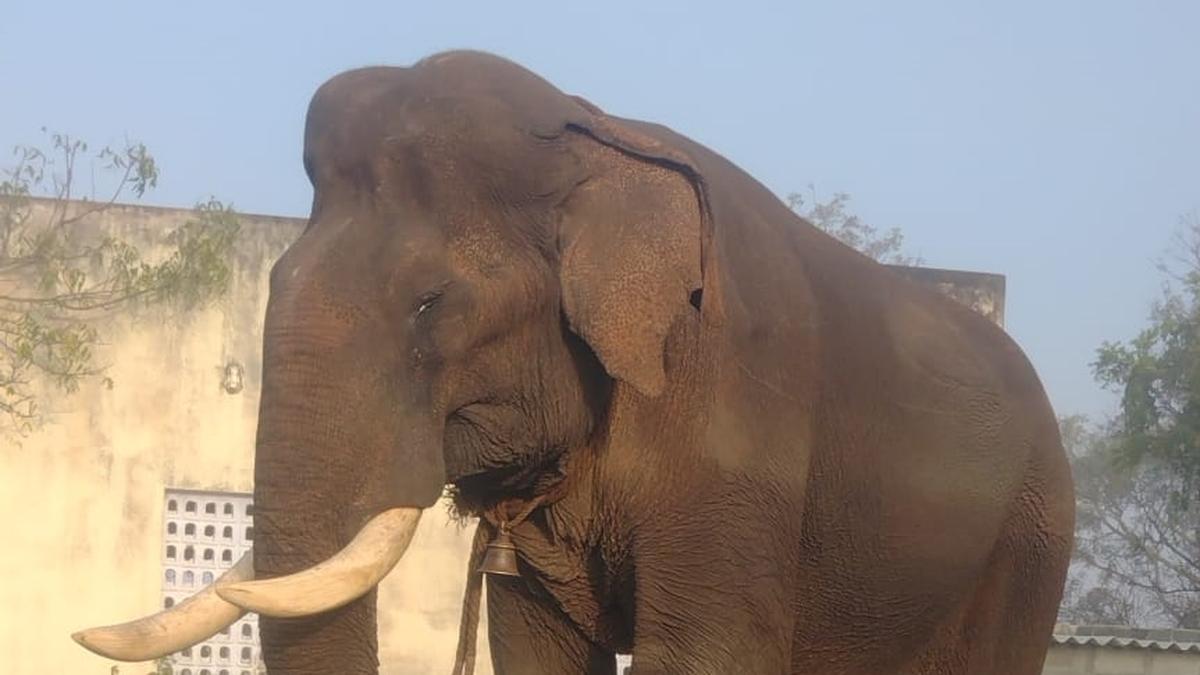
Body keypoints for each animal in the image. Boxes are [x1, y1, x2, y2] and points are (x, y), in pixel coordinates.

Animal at [75, 50, 1074, 674]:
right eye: (273, 281)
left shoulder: (742, 438)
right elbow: (537, 647)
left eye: (431, 304)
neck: (593, 136)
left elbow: (708, 654)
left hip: (1031, 534)